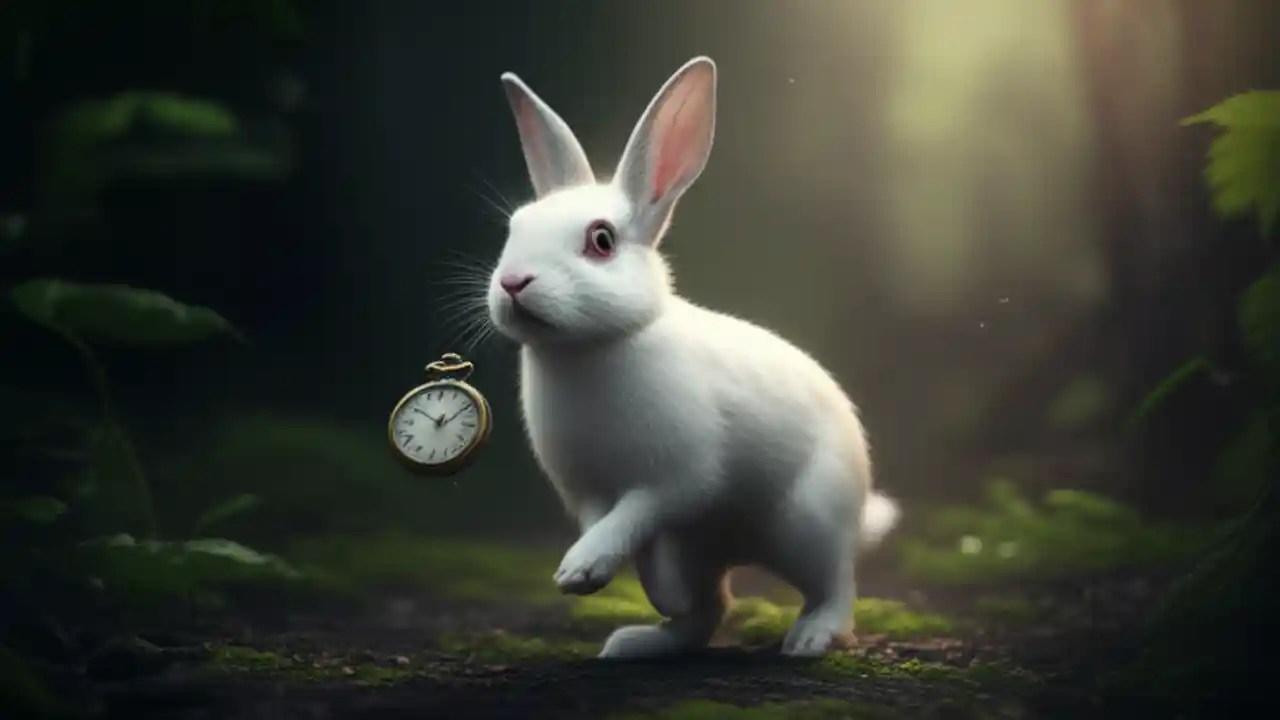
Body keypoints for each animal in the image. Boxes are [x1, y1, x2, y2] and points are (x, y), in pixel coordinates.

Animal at [484, 56, 900, 659]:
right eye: (514, 229)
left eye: (601, 241)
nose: (513, 282)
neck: (592, 348)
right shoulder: (589, 492)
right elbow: (624, 536)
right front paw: (620, 579)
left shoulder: (679, 476)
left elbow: (639, 513)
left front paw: (581, 568)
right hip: (719, 551)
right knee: (709, 611)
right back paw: (636, 642)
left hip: (808, 525)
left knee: (835, 586)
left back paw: (809, 638)